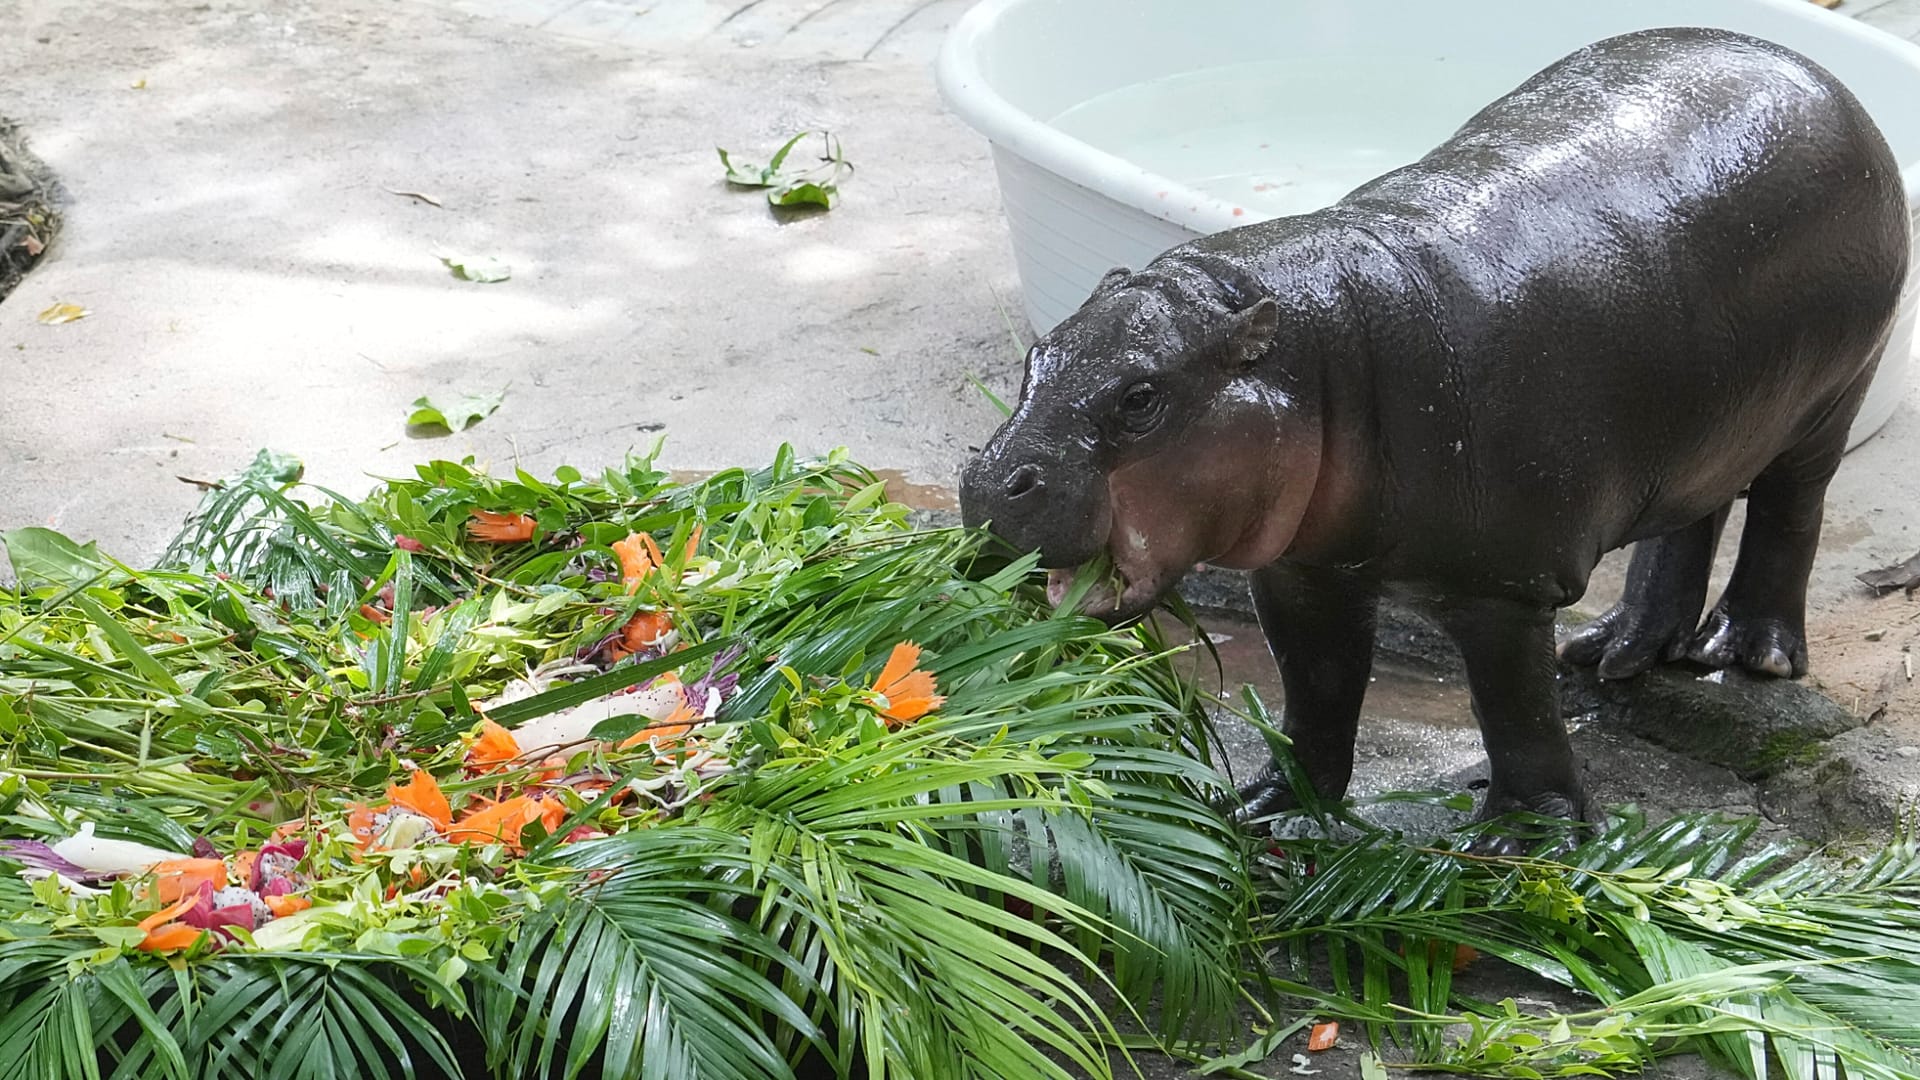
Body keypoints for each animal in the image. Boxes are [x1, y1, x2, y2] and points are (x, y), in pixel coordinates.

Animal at [958, 28, 1910, 838]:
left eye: (1141, 397)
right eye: (1038, 355)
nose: (991, 480)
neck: (1322, 353)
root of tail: (1812, 70)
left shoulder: (1504, 587)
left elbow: (1516, 709)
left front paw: (1525, 839)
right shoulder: (1302, 571)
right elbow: (1318, 689)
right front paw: (1269, 806)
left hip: (1832, 396)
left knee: (1790, 510)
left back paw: (1746, 655)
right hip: (1709, 421)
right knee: (1691, 515)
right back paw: (1614, 653)